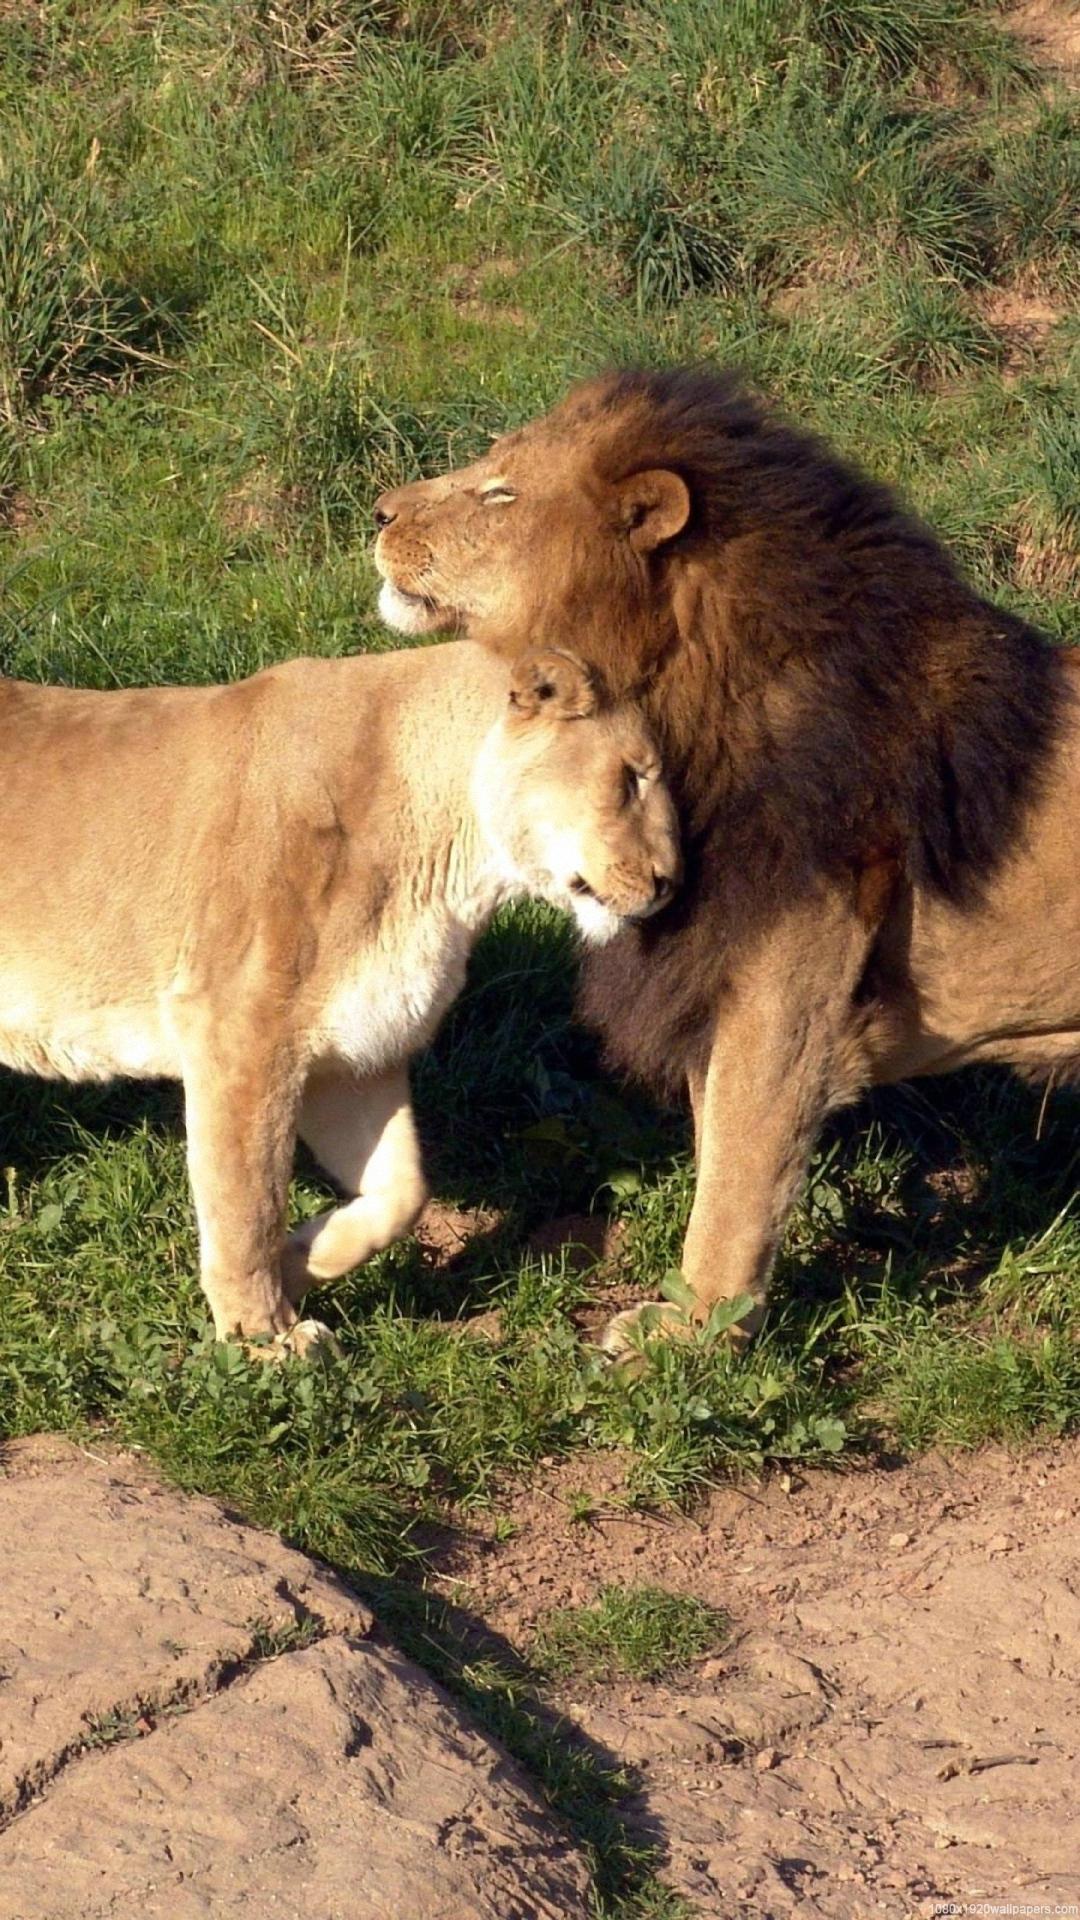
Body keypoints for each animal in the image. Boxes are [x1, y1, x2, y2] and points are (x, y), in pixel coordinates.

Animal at [0, 641, 679, 1352]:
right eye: (632, 778)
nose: (670, 882)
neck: (457, 869)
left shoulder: (353, 1052)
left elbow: (403, 1192)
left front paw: (301, 1259)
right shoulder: (238, 1036)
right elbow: (247, 1206)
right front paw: (263, 1340)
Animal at [373, 365, 1079, 1350]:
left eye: (501, 492)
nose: (376, 512)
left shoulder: (786, 993)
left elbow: (738, 1176)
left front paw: (687, 1338)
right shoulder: (713, 972)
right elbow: (719, 1147)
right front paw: (696, 1318)